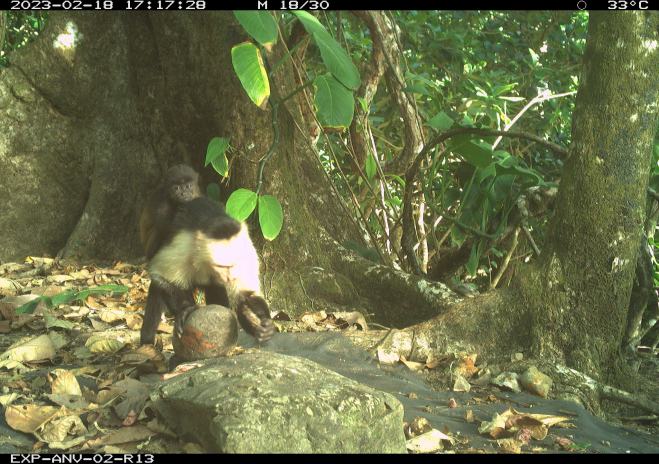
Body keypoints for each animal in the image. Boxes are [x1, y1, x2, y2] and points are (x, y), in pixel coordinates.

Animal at [139, 195, 275, 346]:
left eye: (233, 265)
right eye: (222, 266)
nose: (230, 277)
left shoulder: (247, 250)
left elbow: (246, 295)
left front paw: (263, 323)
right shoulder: (183, 245)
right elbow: (160, 275)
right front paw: (187, 309)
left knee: (217, 290)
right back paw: (147, 342)